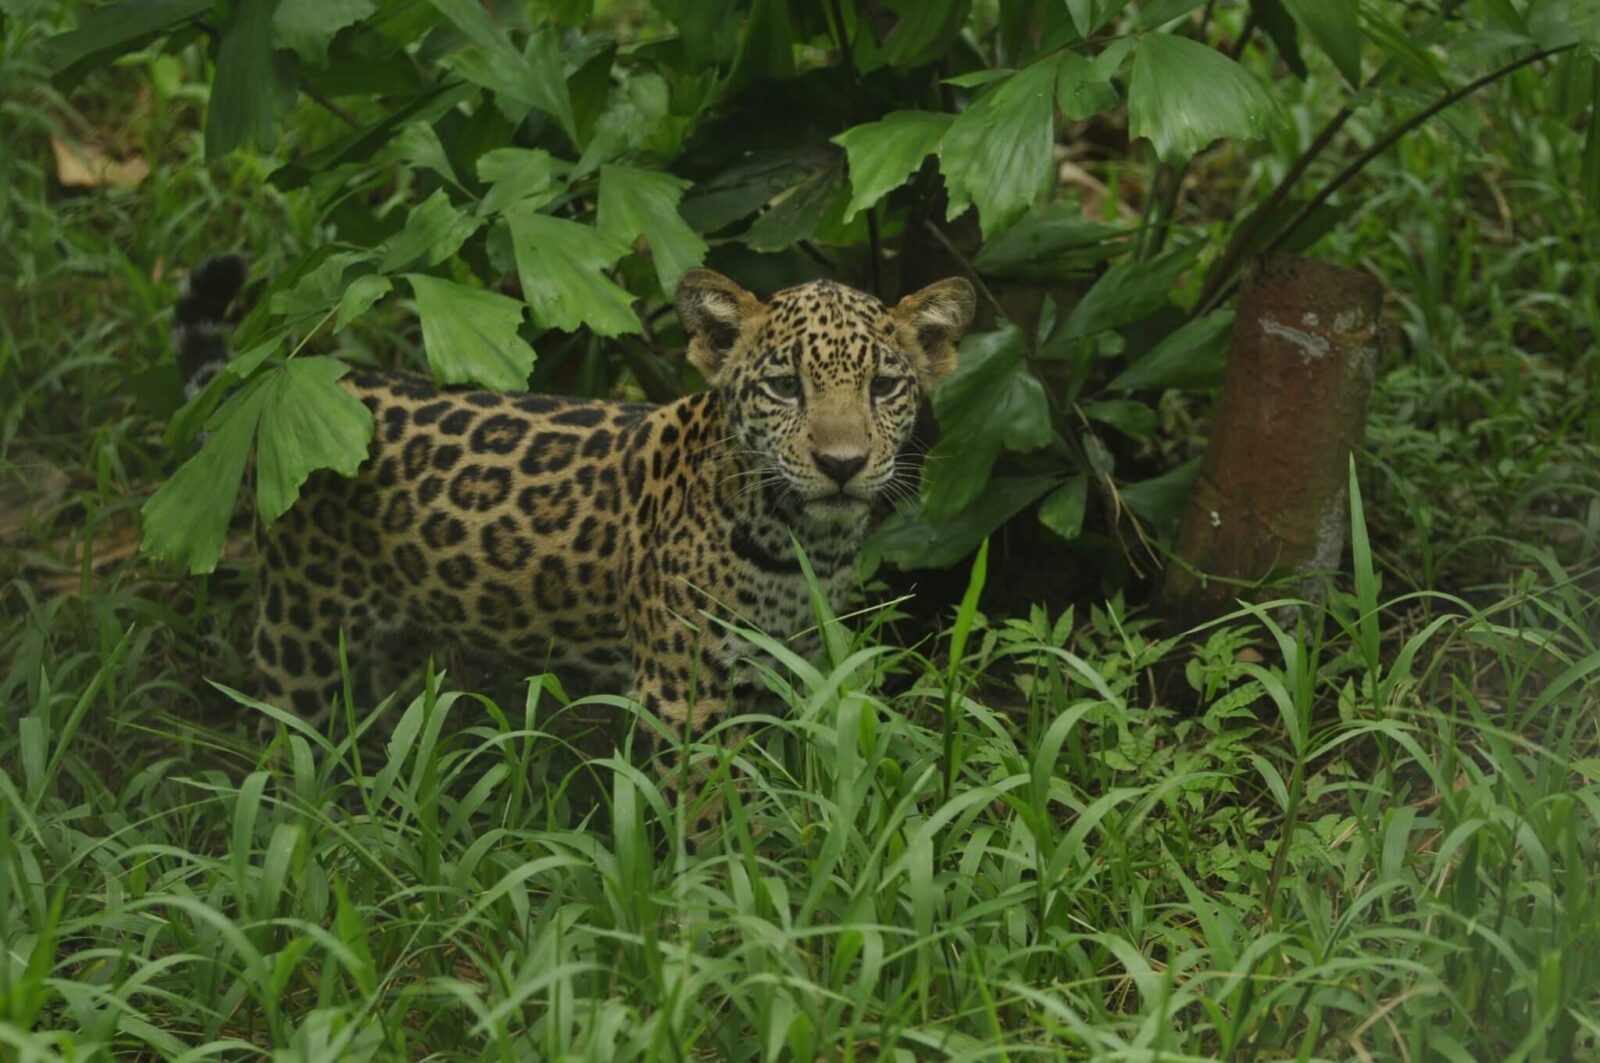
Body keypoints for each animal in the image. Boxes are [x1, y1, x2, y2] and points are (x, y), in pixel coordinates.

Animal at [173, 256, 975, 828]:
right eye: (784, 387)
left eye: (883, 387)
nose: (842, 464)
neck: (802, 541)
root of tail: (292, 395)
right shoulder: (683, 694)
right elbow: (711, 809)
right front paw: (723, 900)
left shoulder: (789, 669)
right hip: (300, 633)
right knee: (288, 743)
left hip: (398, 637)